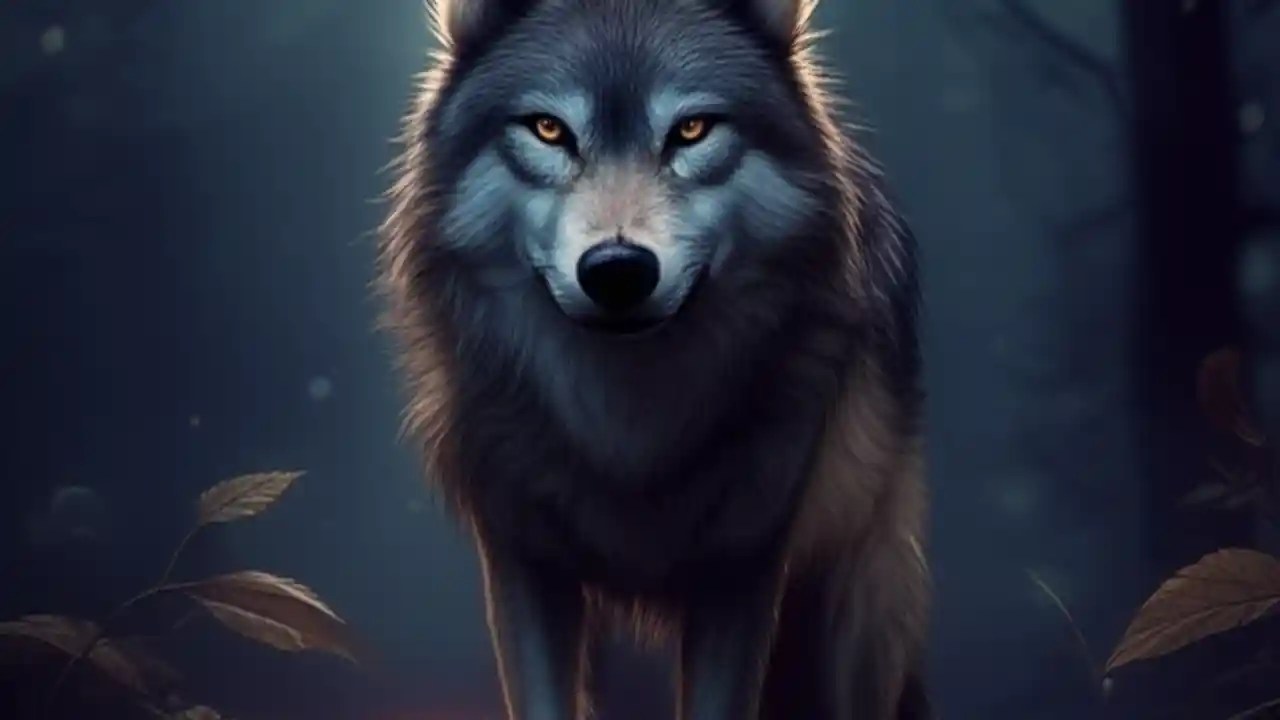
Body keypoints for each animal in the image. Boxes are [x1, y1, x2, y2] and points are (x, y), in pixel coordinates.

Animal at [377, 0, 931, 717]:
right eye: (549, 129)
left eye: (691, 130)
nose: (618, 269)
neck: (630, 435)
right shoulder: (524, 561)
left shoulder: (745, 565)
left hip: (857, 606)